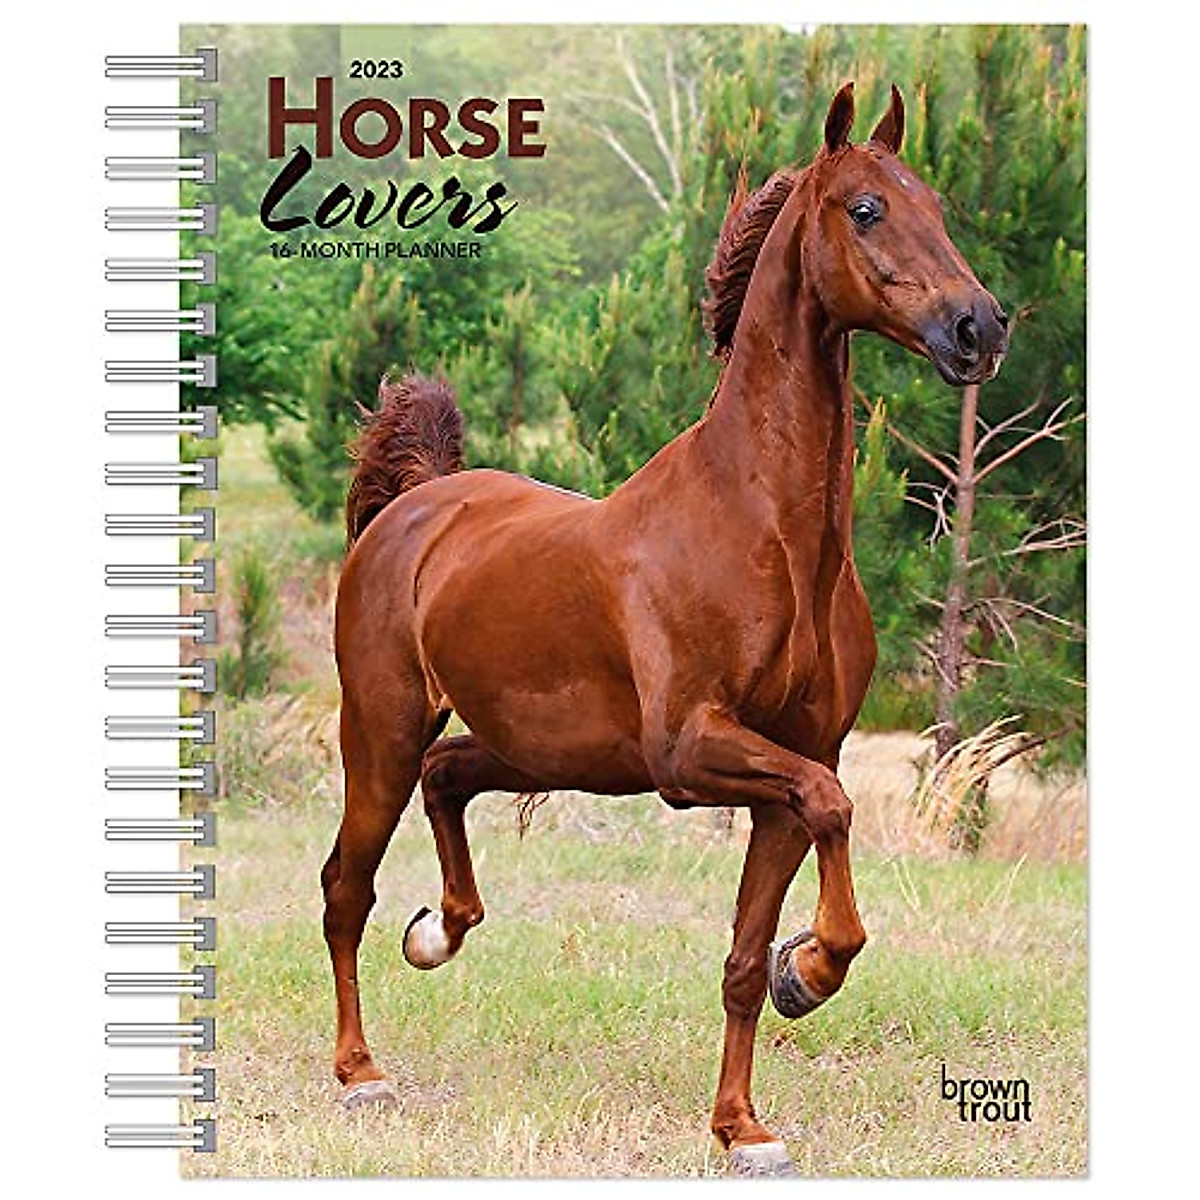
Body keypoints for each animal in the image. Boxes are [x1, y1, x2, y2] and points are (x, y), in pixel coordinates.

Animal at [321, 82, 1008, 1176]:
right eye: (865, 208)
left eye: (935, 202)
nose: (978, 326)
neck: (763, 529)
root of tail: (417, 505)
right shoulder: (693, 753)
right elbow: (836, 810)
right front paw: (811, 971)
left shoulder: (787, 770)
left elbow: (746, 951)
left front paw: (747, 1116)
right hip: (381, 731)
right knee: (349, 884)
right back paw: (361, 1073)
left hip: (539, 746)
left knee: (450, 778)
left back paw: (441, 931)